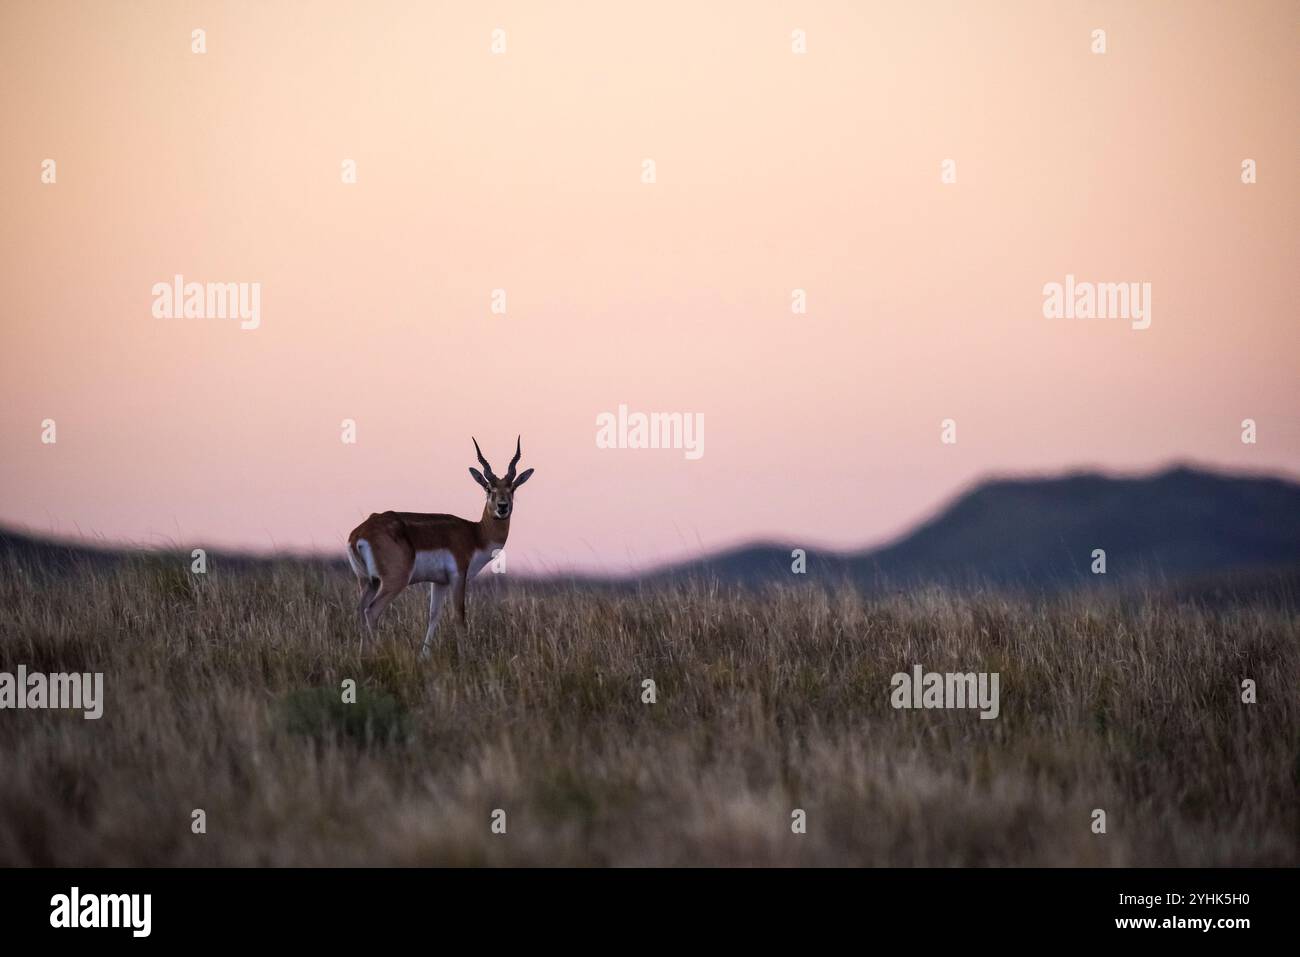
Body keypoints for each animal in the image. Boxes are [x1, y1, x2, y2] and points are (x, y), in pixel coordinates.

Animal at [346, 437, 534, 655]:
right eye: (489, 488)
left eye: (512, 488)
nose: (502, 507)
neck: (476, 534)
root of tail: (360, 533)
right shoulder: (458, 576)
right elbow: (459, 616)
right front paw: (465, 656)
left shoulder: (439, 582)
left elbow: (434, 615)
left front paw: (424, 656)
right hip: (394, 581)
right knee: (371, 611)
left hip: (368, 581)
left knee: (360, 610)